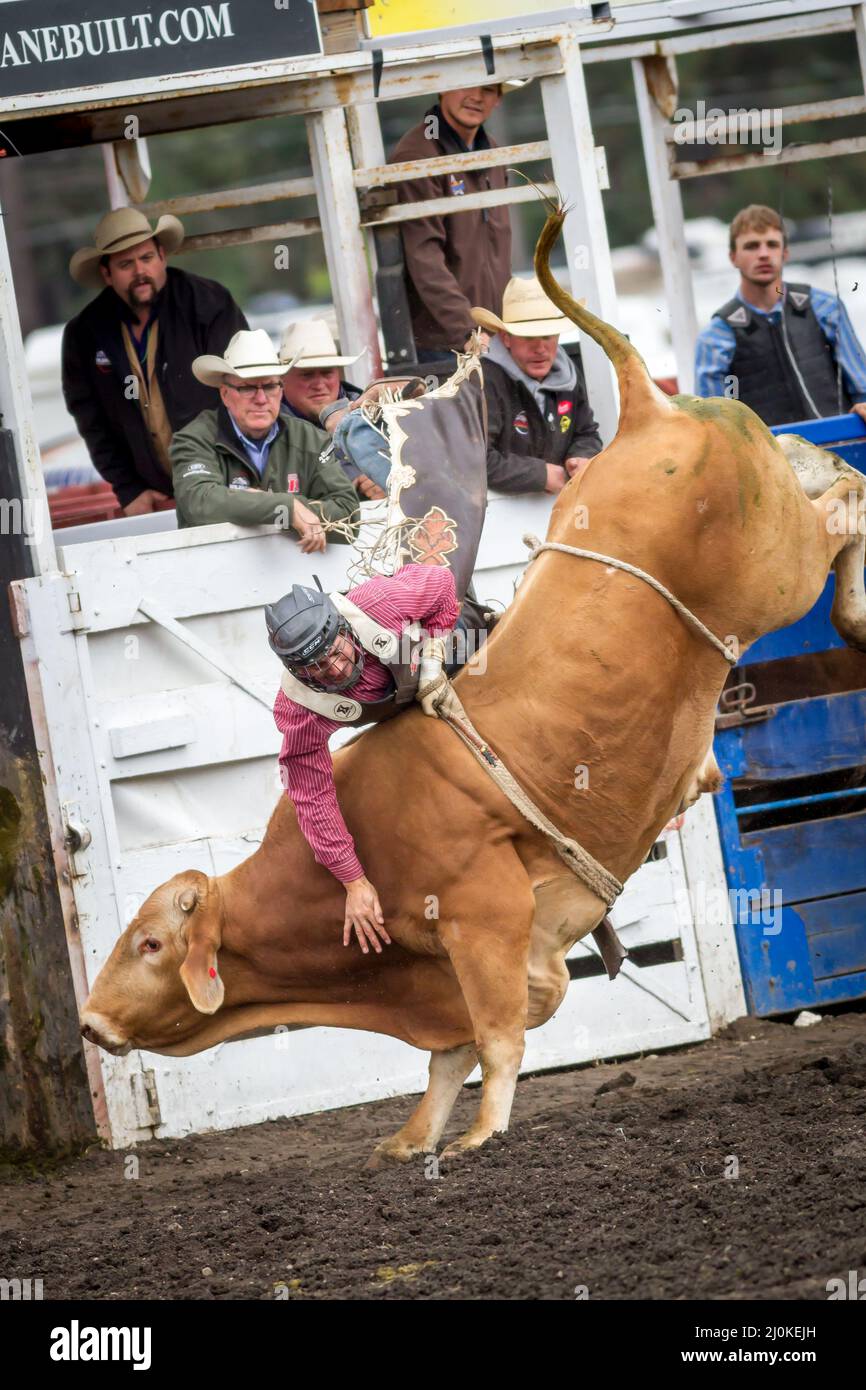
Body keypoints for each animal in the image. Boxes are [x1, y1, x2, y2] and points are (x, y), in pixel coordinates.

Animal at [80, 204, 866, 1167]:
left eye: (151, 941)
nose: (88, 1021)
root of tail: (643, 412)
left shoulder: (481, 918)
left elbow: (494, 1035)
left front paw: (482, 1133)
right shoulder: (437, 970)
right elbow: (446, 1054)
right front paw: (413, 1137)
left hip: (780, 569)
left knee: (848, 501)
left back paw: (857, 613)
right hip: (775, 512)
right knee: (818, 464)